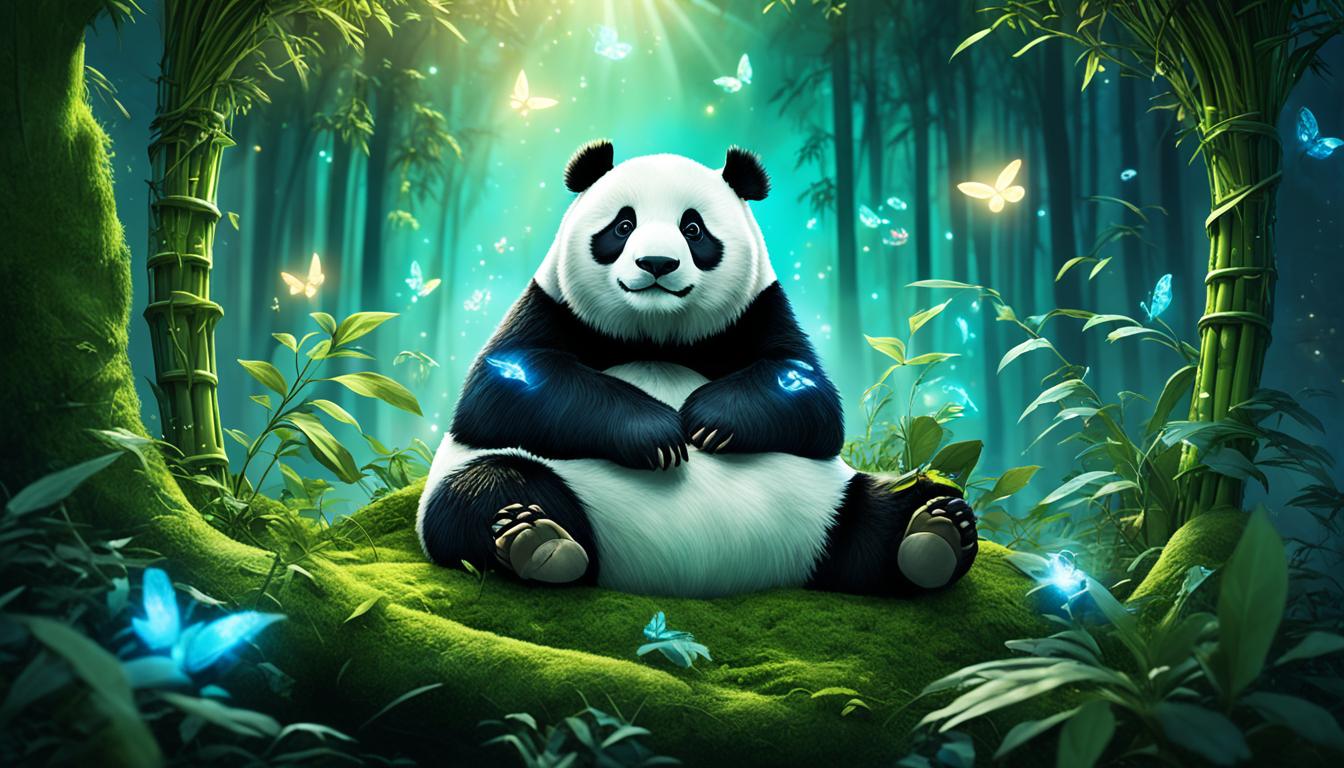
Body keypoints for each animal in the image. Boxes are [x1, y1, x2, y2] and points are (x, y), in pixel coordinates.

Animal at [417, 141, 978, 599]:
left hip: (832, 500)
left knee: (887, 509)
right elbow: (502, 389)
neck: (658, 334)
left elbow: (810, 396)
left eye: (693, 229)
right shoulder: (550, 307)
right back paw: (539, 541)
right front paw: (660, 435)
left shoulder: (760, 312)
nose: (657, 264)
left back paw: (934, 533)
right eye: (623, 226)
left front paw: (710, 422)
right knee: (485, 491)